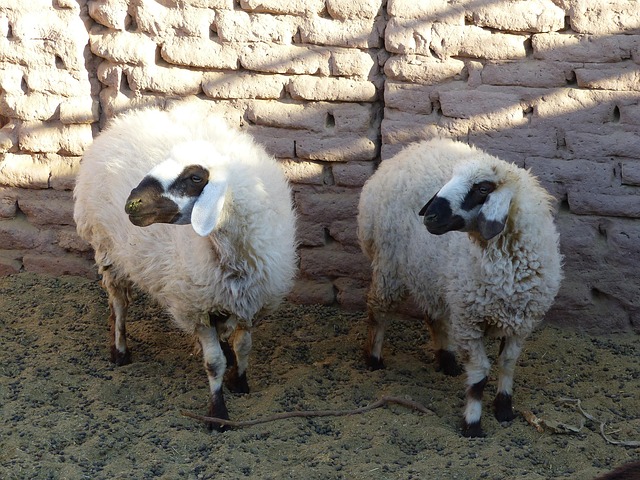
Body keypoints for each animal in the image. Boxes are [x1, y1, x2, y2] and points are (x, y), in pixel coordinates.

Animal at [73, 103, 297, 430]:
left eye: (195, 177)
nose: (132, 204)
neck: (229, 252)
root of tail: (125, 120)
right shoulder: (196, 307)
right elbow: (213, 363)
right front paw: (218, 413)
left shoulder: (250, 301)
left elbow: (243, 347)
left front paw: (240, 381)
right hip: (108, 251)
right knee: (119, 304)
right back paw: (120, 350)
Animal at [357, 138, 562, 437]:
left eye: (483, 188)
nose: (429, 217)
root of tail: (405, 153)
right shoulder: (469, 321)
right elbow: (479, 374)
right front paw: (472, 424)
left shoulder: (521, 321)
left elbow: (507, 364)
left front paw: (504, 408)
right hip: (389, 267)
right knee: (378, 312)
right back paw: (374, 359)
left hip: (432, 275)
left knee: (433, 316)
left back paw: (447, 361)